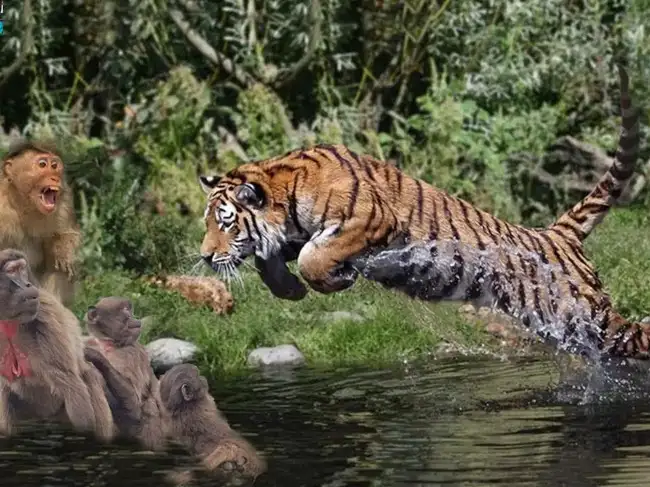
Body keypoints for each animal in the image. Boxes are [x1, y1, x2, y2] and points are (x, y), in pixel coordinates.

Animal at [0, 138, 81, 306]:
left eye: (55, 166)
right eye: (42, 164)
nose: (55, 177)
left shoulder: (64, 201)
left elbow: (68, 234)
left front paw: (62, 250)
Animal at [0, 248, 114, 441]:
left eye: (22, 269)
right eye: (12, 271)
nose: (28, 285)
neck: (8, 321)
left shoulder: (46, 313)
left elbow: (70, 385)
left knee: (86, 377)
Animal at [82, 296, 167, 451]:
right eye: (125, 310)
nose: (134, 318)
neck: (108, 345)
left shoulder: (131, 353)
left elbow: (135, 406)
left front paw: (96, 357)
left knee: (149, 406)